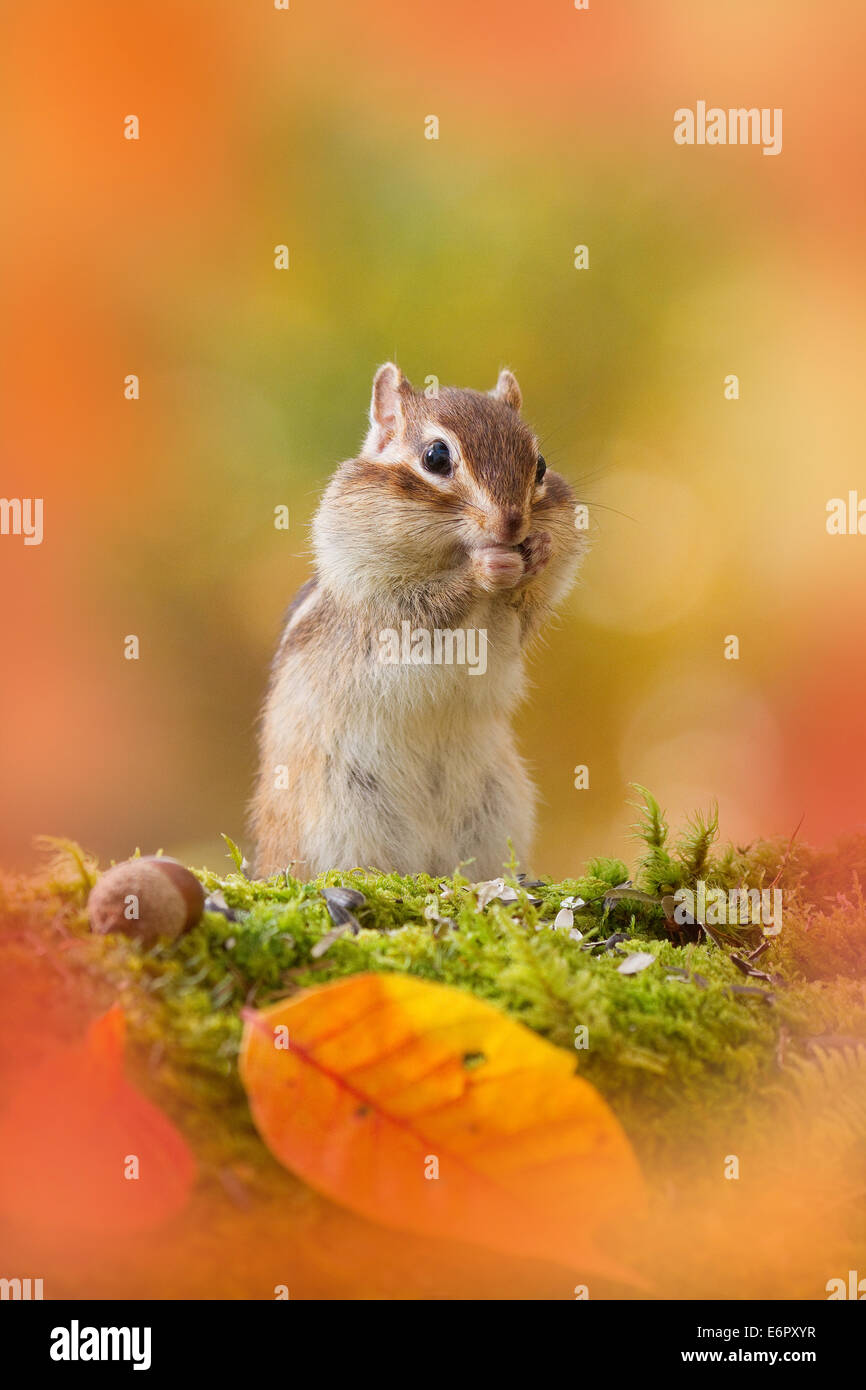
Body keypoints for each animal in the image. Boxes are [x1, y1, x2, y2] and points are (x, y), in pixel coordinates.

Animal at [253, 364, 586, 880]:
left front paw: (539, 552)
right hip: (343, 814)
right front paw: (484, 568)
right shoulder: (380, 599)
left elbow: (520, 618)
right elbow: (425, 606)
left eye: (541, 466)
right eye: (436, 456)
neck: (449, 552)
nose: (512, 525)